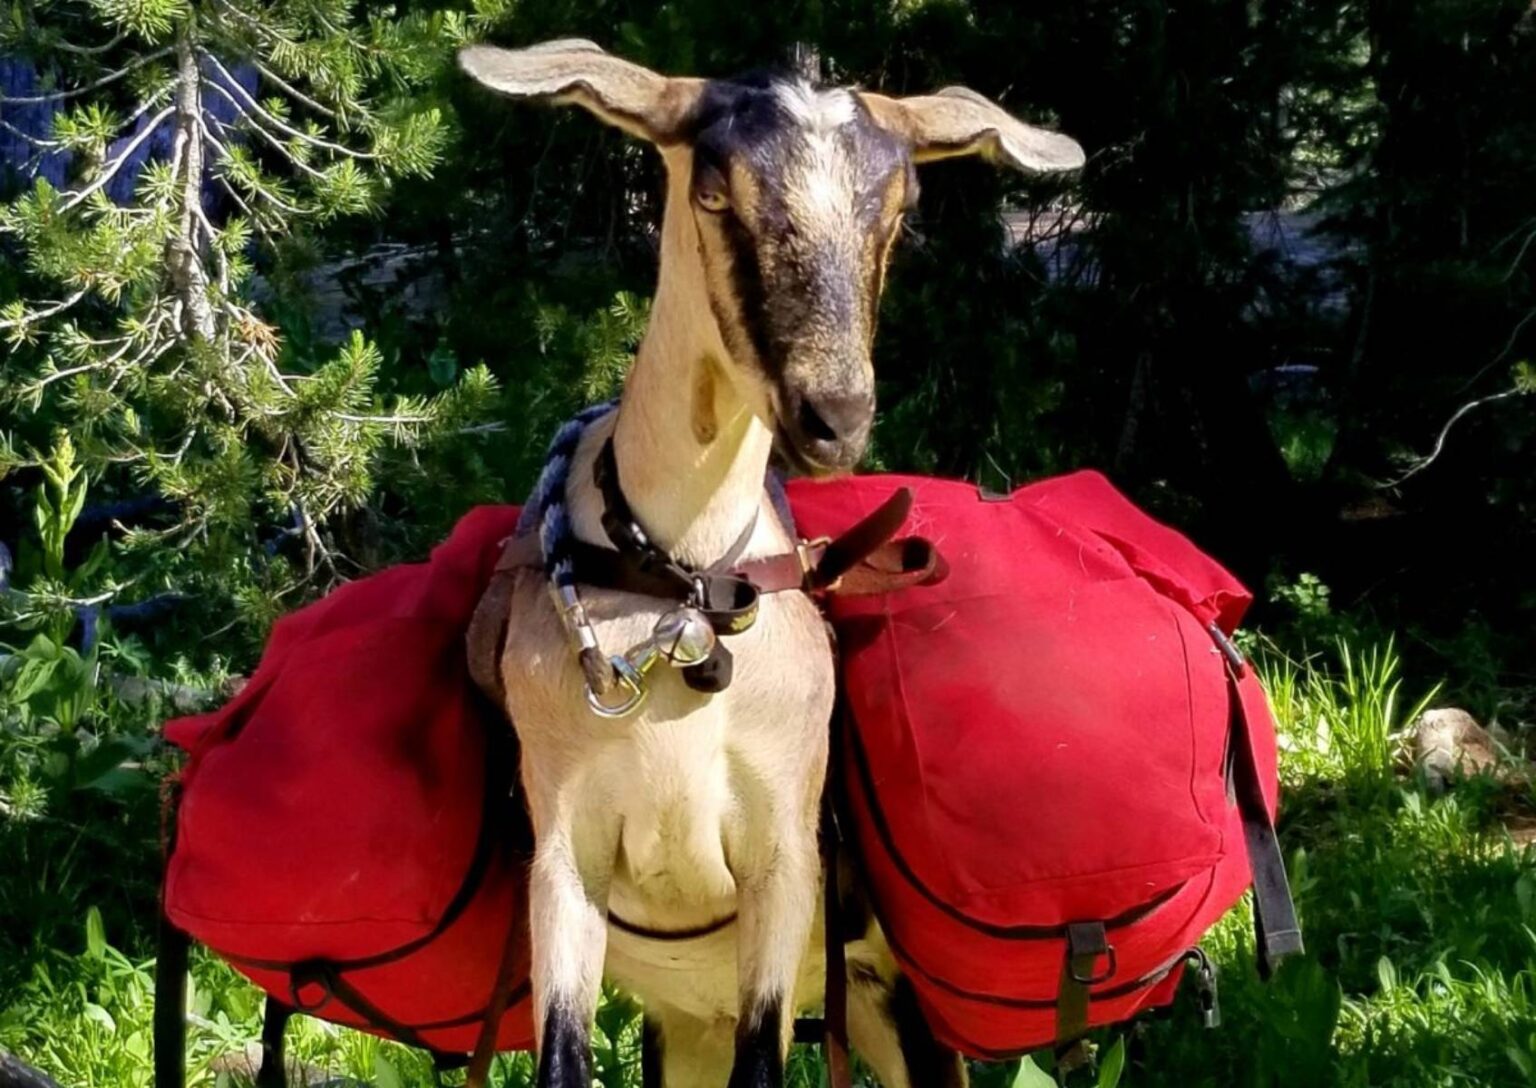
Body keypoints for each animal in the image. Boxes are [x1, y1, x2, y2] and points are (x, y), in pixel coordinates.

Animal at [459, 39, 1083, 1088]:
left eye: (902, 206)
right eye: (714, 190)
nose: (834, 416)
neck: (678, 584)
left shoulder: (784, 858)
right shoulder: (564, 859)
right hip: (693, 1026)